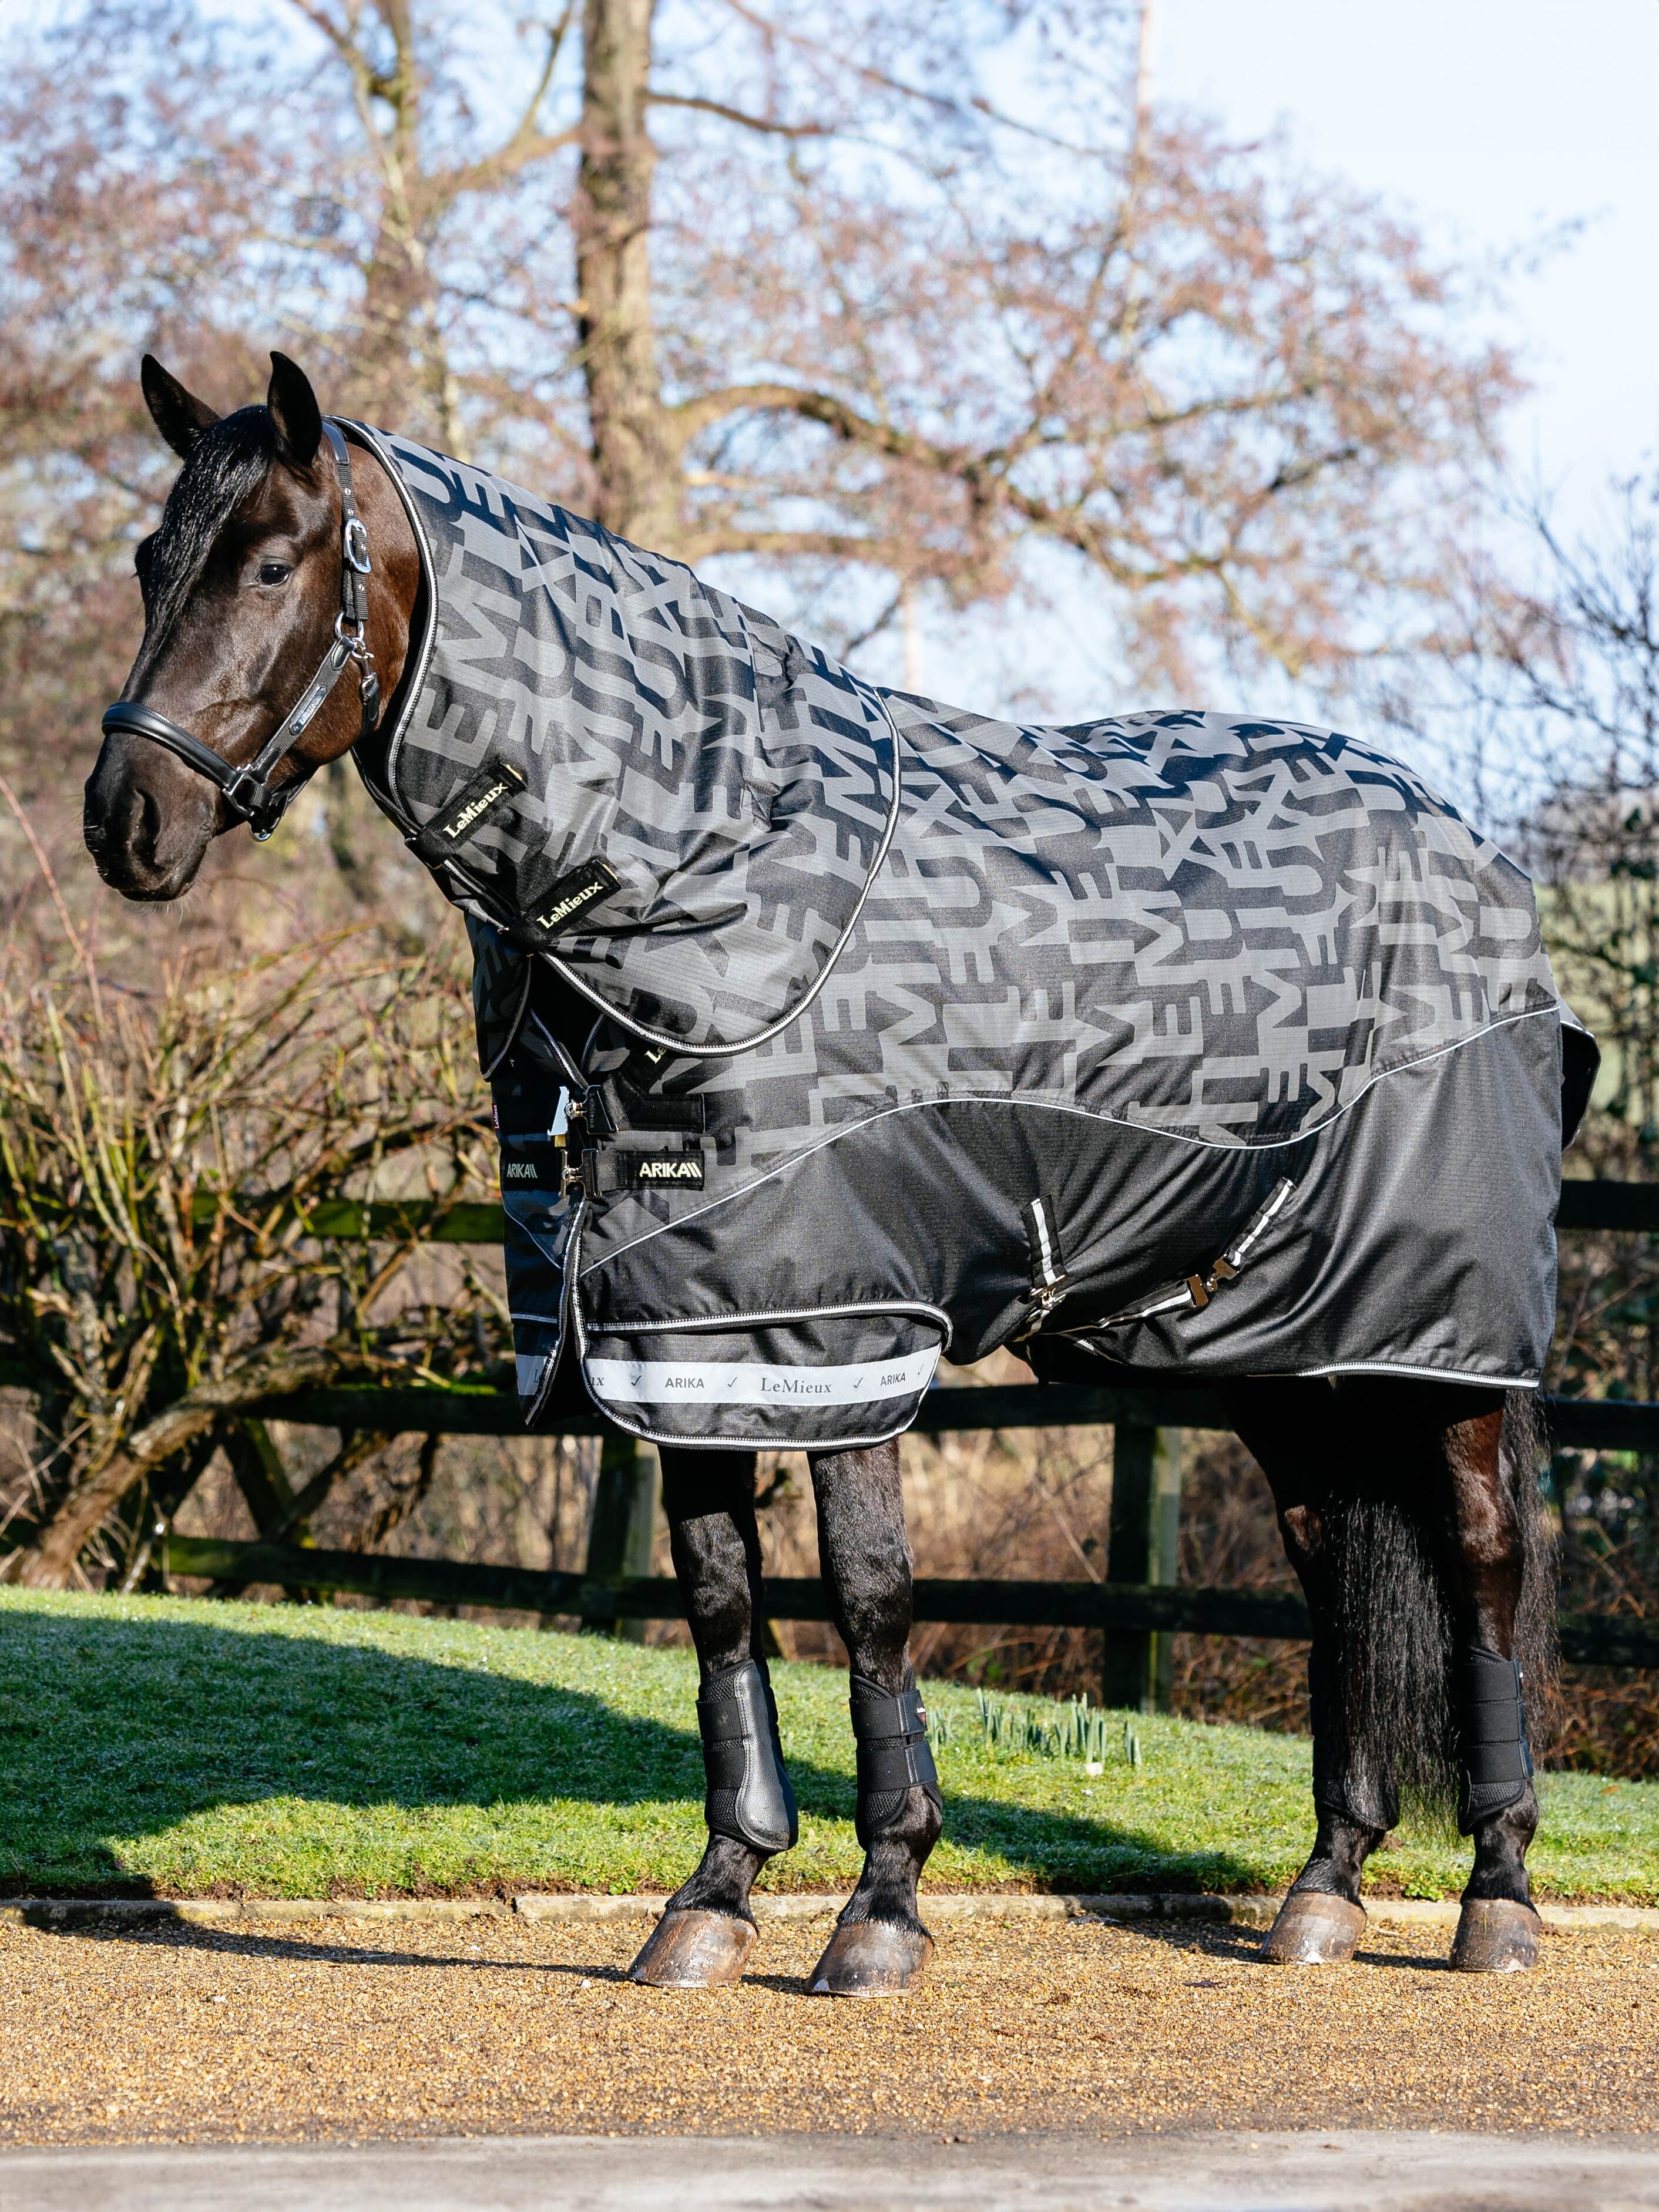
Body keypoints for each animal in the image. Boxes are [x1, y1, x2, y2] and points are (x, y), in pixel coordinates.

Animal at [84, 352, 1587, 1993]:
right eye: (154, 558)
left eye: (271, 564)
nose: (125, 820)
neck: (713, 868)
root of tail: (1473, 855)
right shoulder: (683, 1334)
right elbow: (719, 1605)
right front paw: (715, 1895)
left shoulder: (844, 1327)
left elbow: (867, 1599)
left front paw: (880, 1907)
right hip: (1282, 1346)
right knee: (1331, 1574)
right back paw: (1323, 1888)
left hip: (1441, 1345)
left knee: (1485, 1564)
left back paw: (1496, 1896)